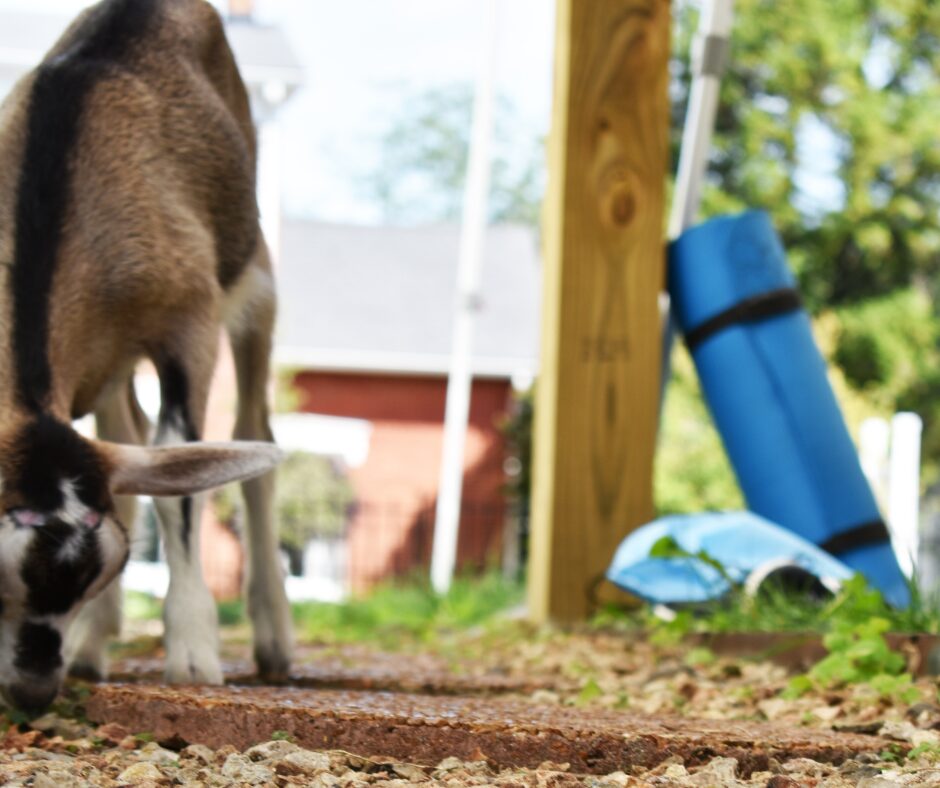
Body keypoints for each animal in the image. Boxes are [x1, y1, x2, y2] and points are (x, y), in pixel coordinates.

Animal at [0, 0, 294, 716]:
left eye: (101, 569)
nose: (31, 692)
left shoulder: (188, 326)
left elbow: (179, 477)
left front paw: (192, 651)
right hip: (109, 366)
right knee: (128, 436)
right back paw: (92, 646)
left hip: (254, 282)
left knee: (253, 437)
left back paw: (273, 637)